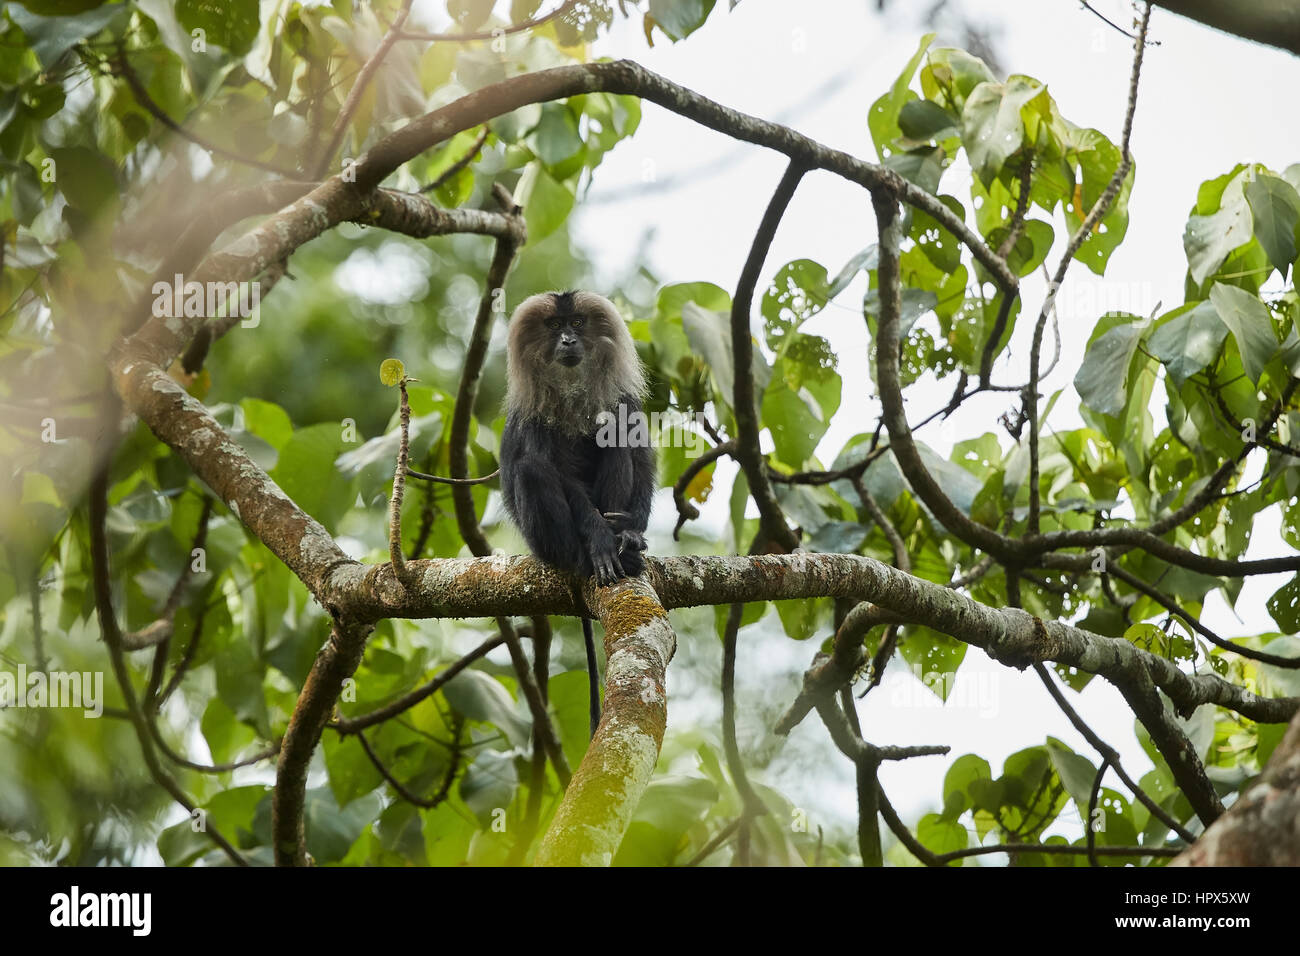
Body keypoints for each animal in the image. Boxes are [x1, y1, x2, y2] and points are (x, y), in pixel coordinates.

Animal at [499, 290, 656, 736]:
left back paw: (626, 545)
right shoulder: (534, 414)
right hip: (546, 540)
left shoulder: (624, 401)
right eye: (554, 326)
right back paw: (587, 557)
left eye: (578, 323)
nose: (568, 339)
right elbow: (551, 469)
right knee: (531, 469)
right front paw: (600, 542)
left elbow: (639, 454)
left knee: (619, 445)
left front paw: (630, 534)